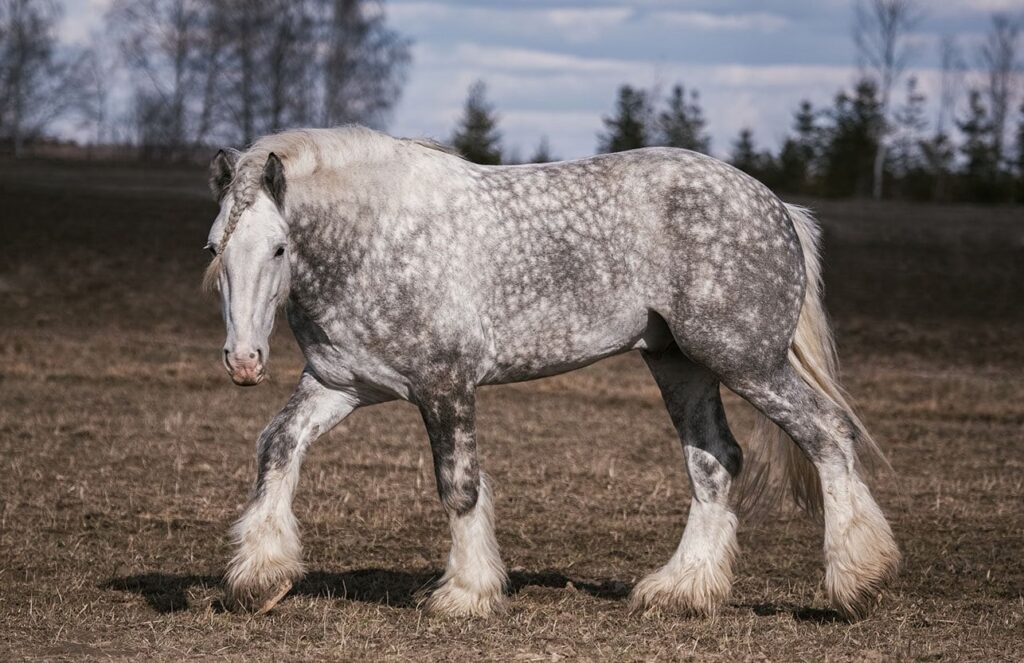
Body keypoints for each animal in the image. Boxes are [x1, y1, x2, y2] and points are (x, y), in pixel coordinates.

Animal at [202, 126, 899, 620]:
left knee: (828, 433)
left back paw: (857, 584)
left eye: (279, 247)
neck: (377, 240)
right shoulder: (342, 384)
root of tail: (776, 205)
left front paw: (466, 595)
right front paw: (259, 579)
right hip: (681, 364)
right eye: (215, 248)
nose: (244, 361)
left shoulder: (445, 386)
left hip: (744, 359)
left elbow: (459, 486)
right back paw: (683, 590)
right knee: (715, 461)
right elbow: (277, 447)